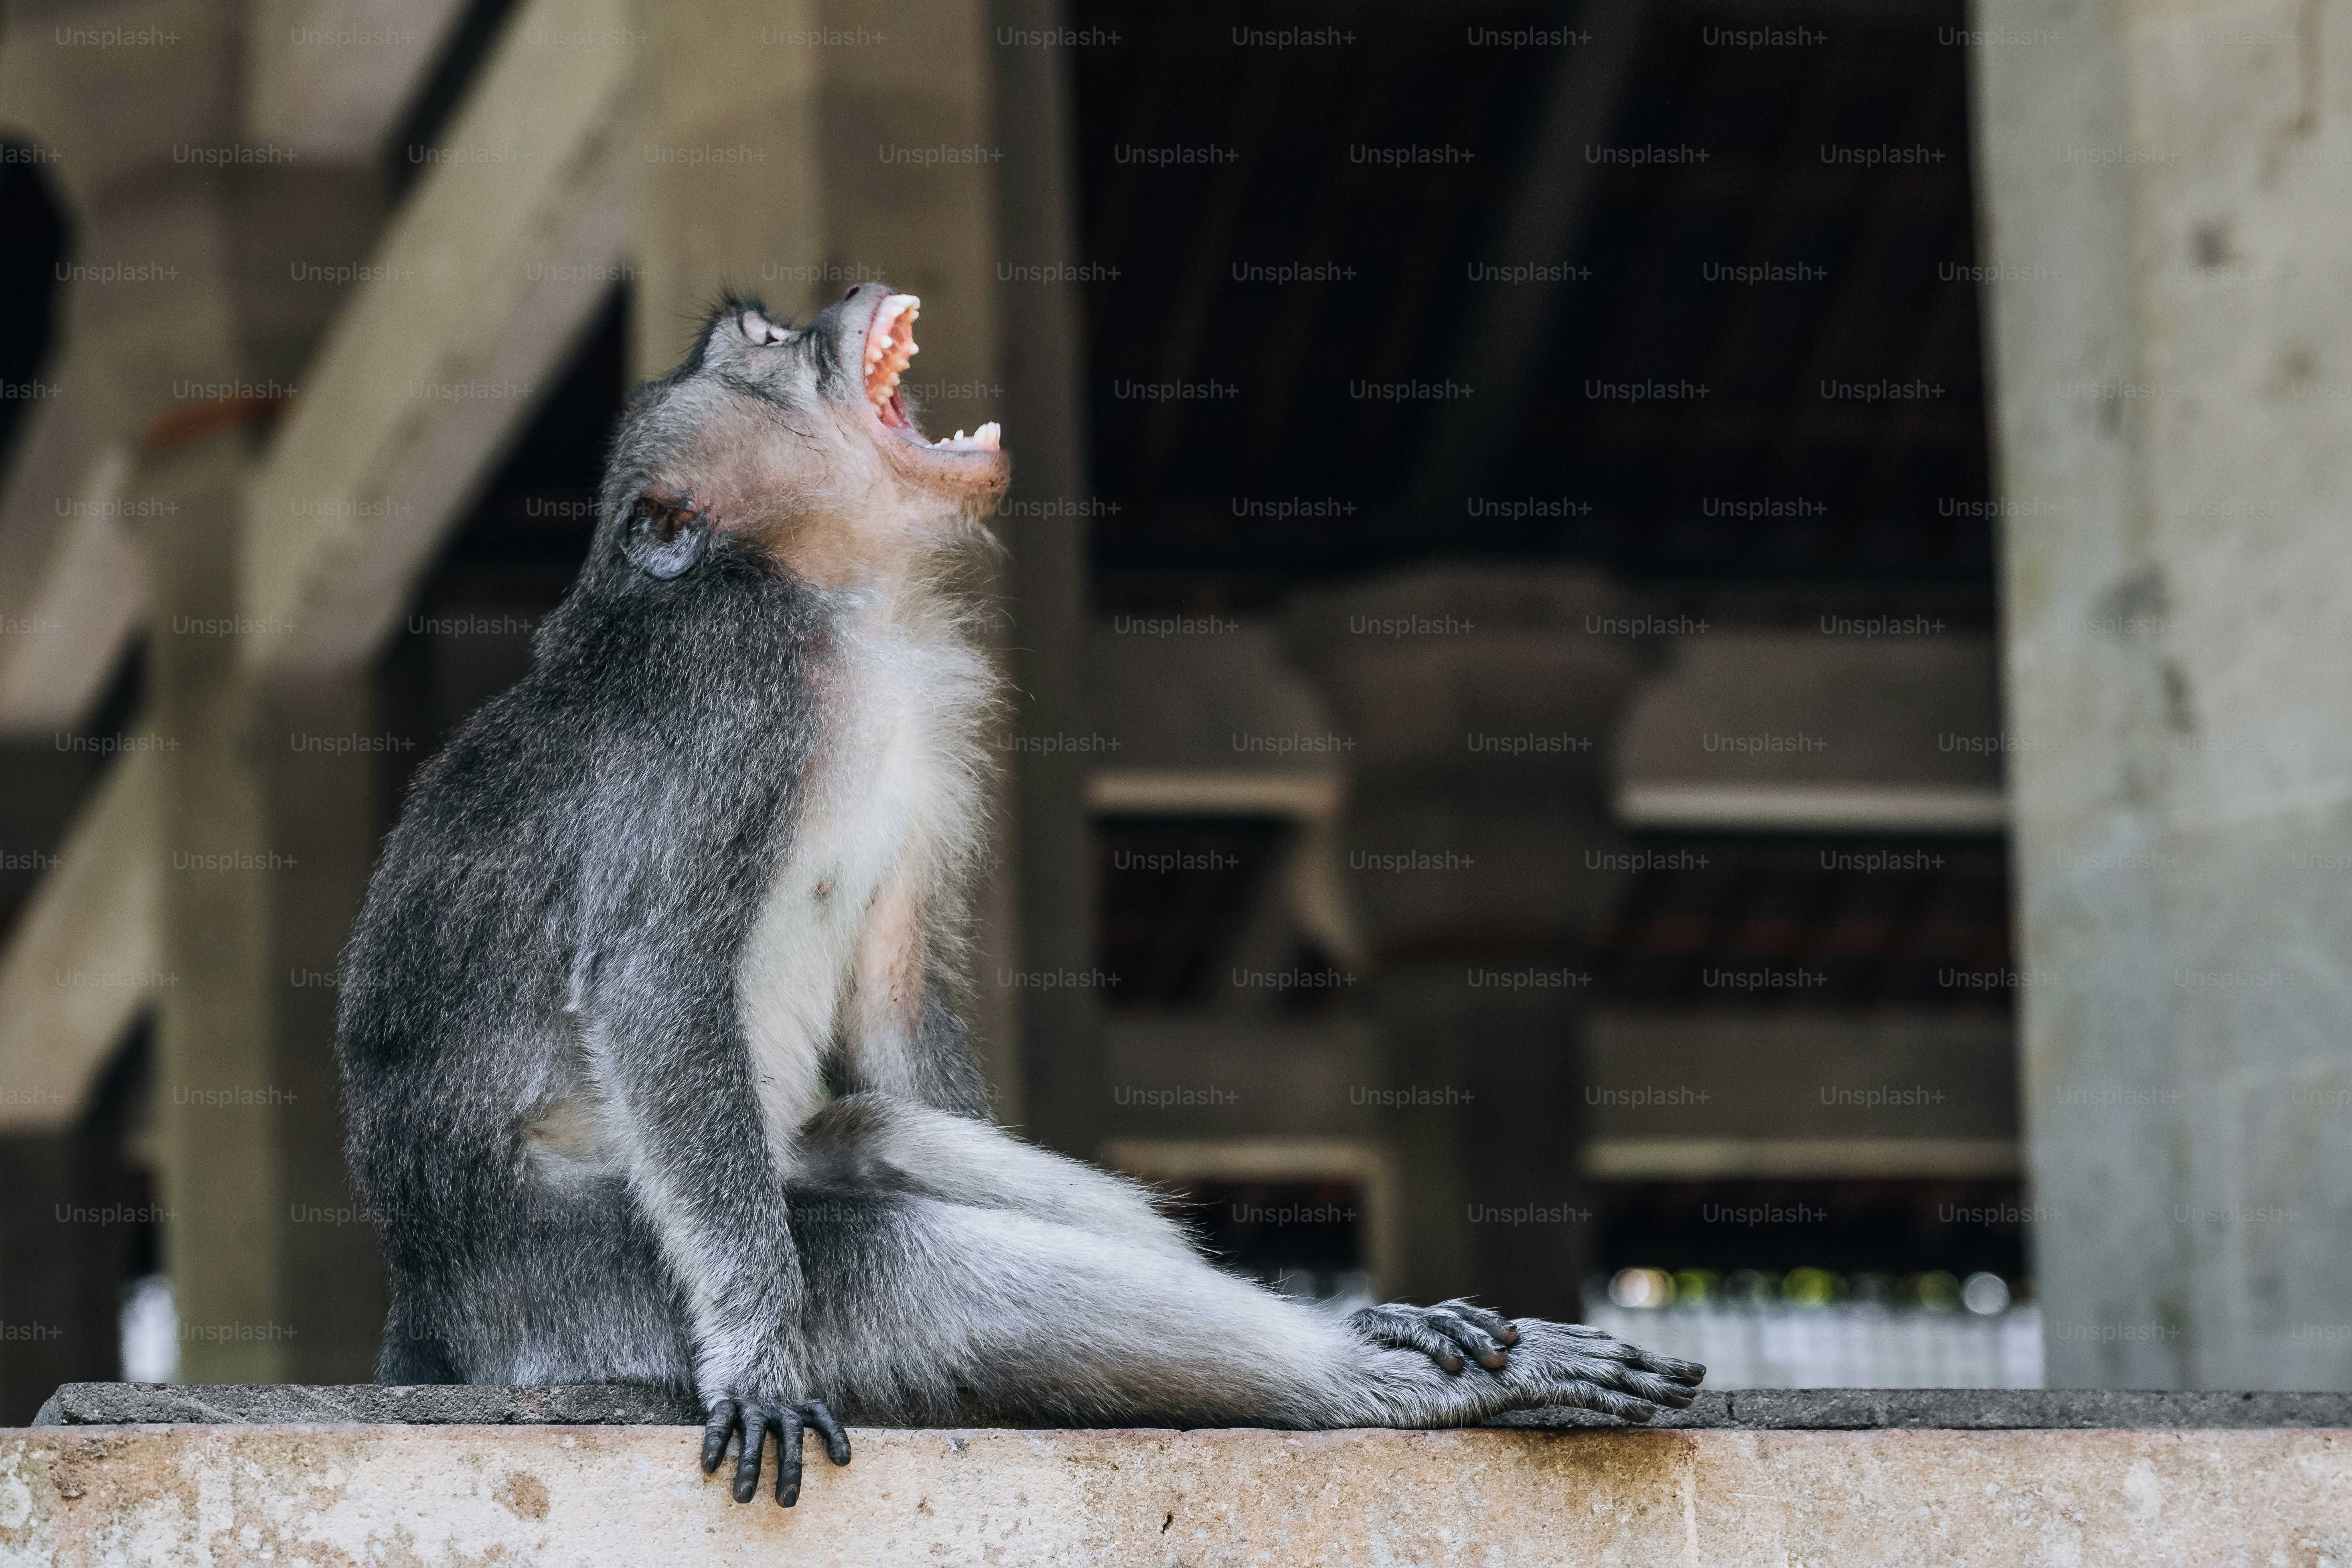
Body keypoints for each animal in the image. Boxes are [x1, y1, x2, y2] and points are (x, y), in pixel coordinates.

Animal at [335, 282, 1703, 1511]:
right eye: (765, 342)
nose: (824, 305)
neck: (834, 608)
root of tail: (431, 1313)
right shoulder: (727, 686)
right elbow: (653, 975)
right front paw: (759, 1349)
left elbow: (893, 1008)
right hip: (570, 1297)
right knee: (903, 1260)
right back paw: (1377, 1377)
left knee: (884, 1139)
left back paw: (1385, 1330)